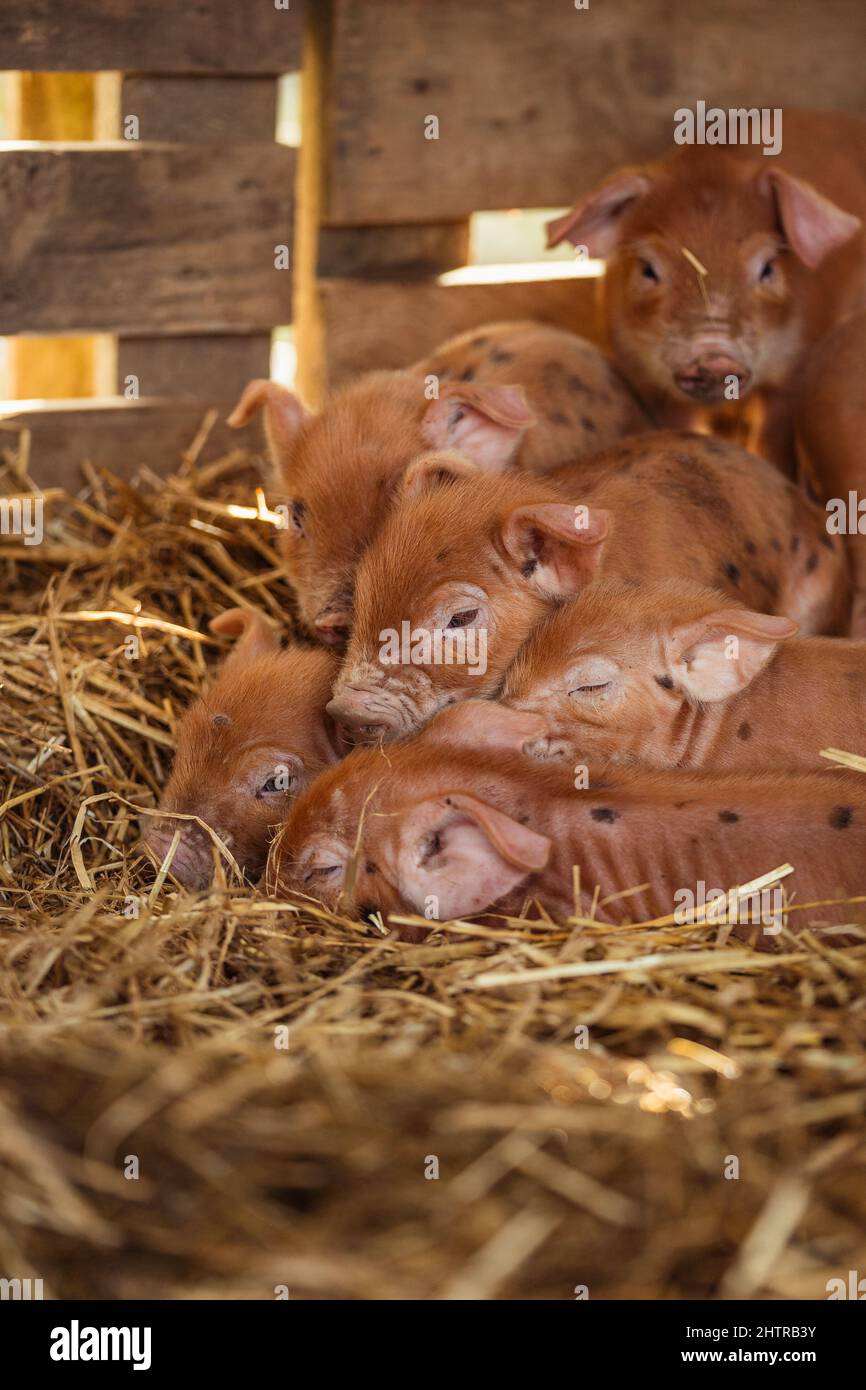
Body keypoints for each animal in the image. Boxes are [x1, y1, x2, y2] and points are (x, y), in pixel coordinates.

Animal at [547, 110, 866, 470]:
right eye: (648, 269)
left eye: (768, 268)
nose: (714, 357)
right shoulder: (647, 382)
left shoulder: (796, 365)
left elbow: (773, 436)